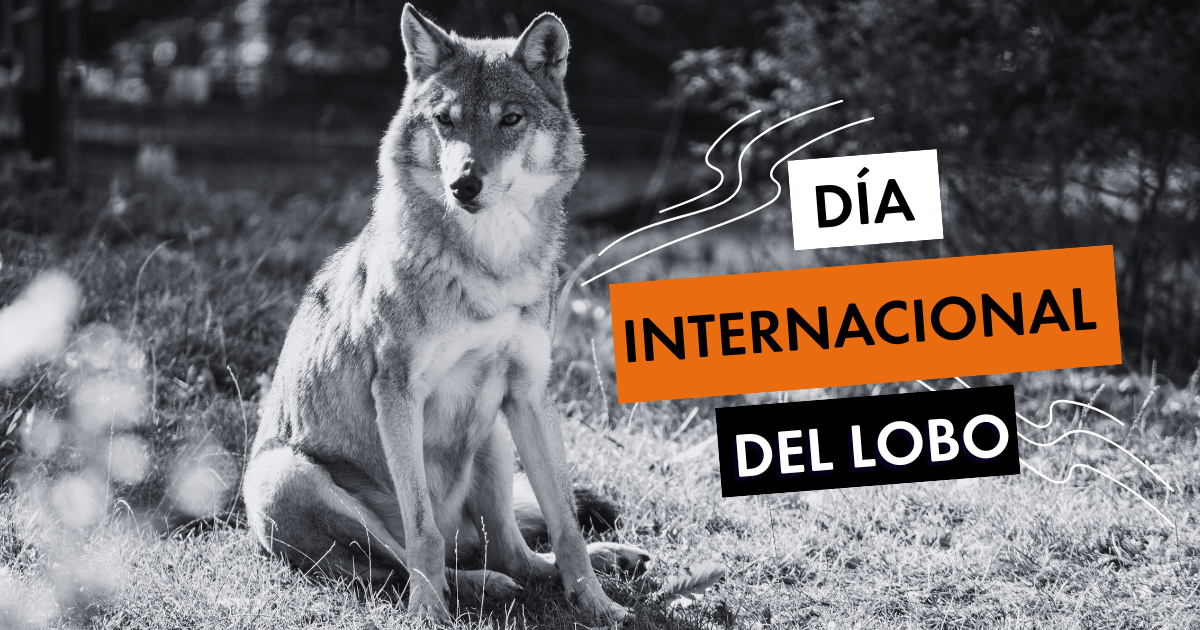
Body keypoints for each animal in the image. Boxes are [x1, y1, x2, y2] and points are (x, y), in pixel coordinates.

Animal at [242, 4, 649, 625]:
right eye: (444, 120)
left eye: (510, 120)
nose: (464, 184)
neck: (491, 269)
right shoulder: (397, 393)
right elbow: (422, 535)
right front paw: (428, 613)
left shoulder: (529, 392)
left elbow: (565, 524)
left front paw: (598, 605)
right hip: (286, 475)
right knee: (400, 563)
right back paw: (476, 587)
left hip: (495, 432)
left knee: (516, 551)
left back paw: (604, 559)